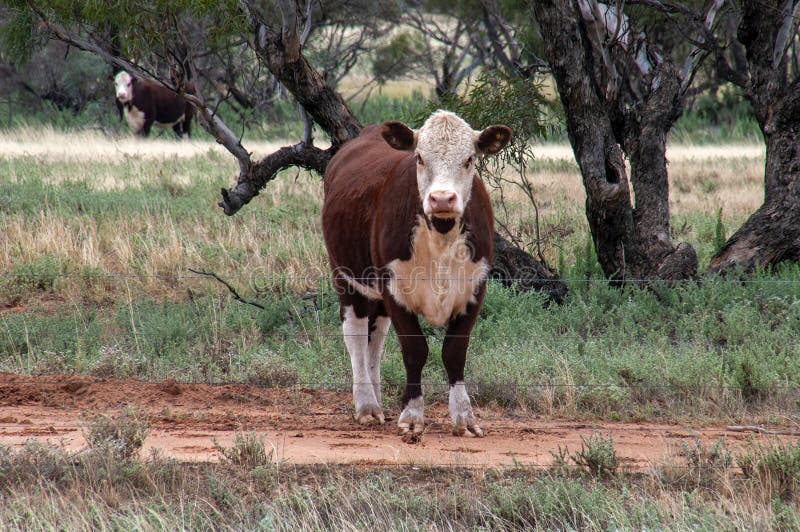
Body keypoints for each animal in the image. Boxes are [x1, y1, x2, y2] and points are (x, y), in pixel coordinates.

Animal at [322, 110, 511, 439]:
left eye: (470, 159)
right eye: (420, 157)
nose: (442, 199)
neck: (441, 238)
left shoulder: (475, 287)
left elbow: (454, 351)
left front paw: (464, 417)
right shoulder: (394, 288)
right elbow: (414, 350)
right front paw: (411, 415)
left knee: (376, 339)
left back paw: (378, 400)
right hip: (345, 277)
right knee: (356, 335)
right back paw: (367, 405)